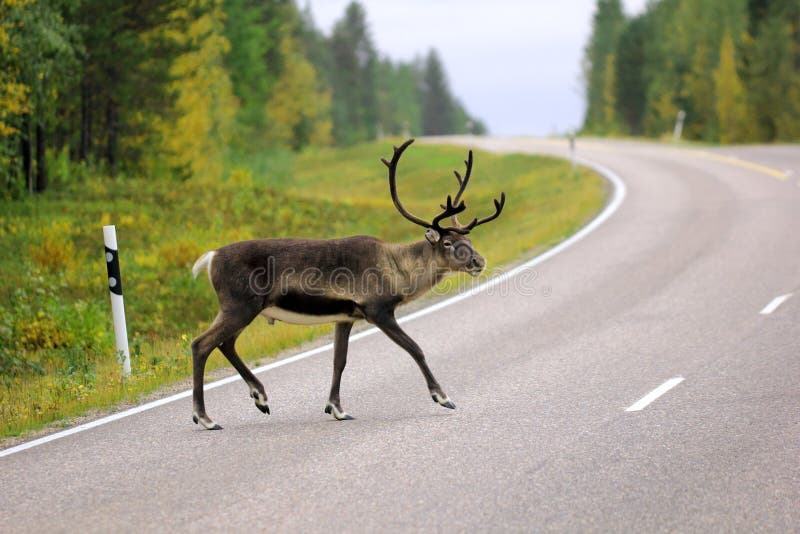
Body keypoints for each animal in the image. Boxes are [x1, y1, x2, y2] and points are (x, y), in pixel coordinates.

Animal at [189, 138, 506, 429]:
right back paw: (205, 418)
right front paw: (443, 397)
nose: (479, 261)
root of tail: (210, 258)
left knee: (225, 343)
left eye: (468, 240)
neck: (397, 269)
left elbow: (339, 361)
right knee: (201, 344)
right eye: (448, 242)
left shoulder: (345, 316)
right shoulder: (378, 311)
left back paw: (260, 397)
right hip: (240, 305)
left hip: (240, 308)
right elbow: (415, 348)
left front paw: (336, 408)